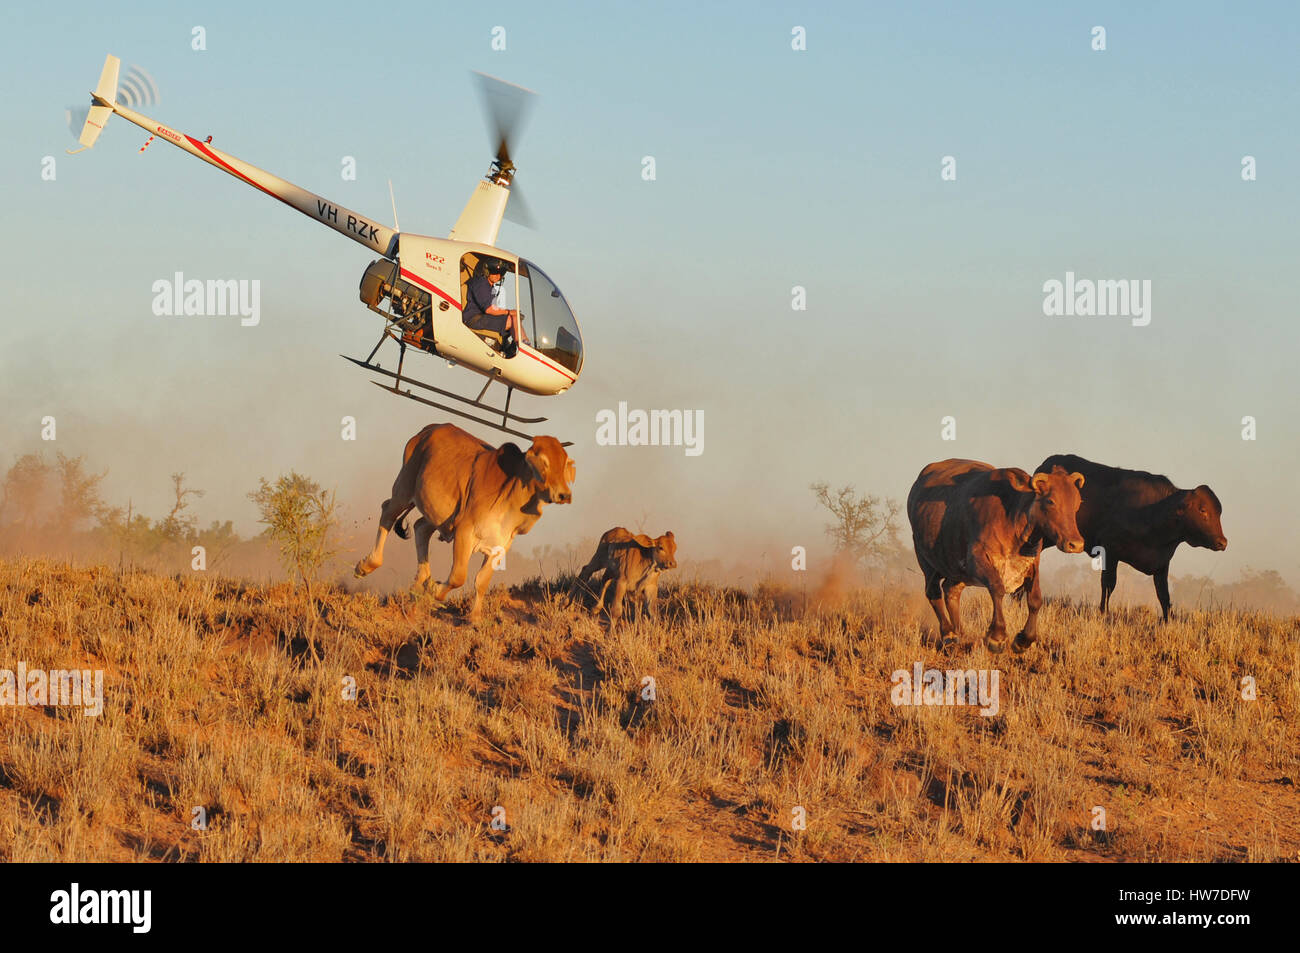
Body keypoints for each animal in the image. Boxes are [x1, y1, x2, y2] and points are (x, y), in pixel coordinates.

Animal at [354, 423, 575, 621]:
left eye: (564, 463)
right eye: (544, 462)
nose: (564, 494)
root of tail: (428, 430)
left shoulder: (500, 546)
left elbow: (482, 581)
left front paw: (474, 617)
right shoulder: (464, 532)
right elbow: (458, 576)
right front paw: (435, 589)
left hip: (436, 512)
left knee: (420, 528)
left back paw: (420, 583)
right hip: (404, 488)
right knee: (387, 514)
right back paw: (367, 566)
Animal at [907, 459, 1086, 653]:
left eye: (1077, 502)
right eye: (1051, 501)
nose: (1076, 544)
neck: (1013, 517)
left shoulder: (1031, 565)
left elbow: (1035, 599)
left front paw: (1024, 639)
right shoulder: (978, 560)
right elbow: (997, 589)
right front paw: (997, 636)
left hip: (957, 571)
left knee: (951, 591)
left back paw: (961, 633)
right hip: (927, 562)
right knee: (934, 592)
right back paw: (949, 635)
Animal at [1036, 454, 1226, 621]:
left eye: (1219, 512)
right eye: (1203, 510)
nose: (1222, 542)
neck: (1155, 511)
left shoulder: (1162, 564)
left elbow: (1163, 595)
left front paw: (1169, 620)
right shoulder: (1110, 551)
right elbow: (1108, 585)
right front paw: (1104, 613)